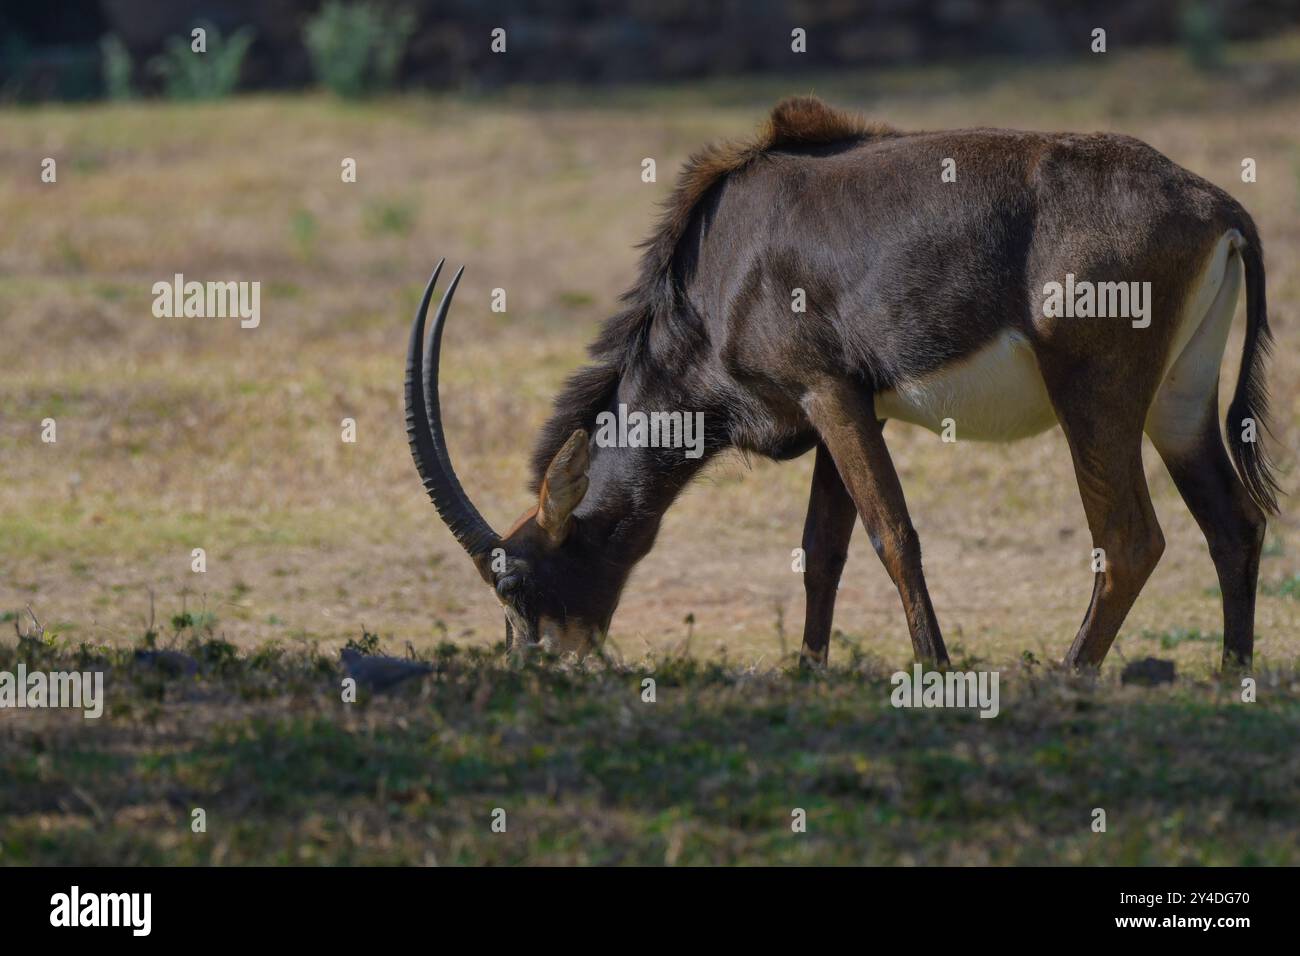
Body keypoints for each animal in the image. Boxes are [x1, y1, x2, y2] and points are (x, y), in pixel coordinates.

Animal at [405, 96, 1279, 671]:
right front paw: (809, 672)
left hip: (1094, 396)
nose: (540, 671)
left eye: (515, 584)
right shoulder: (848, 409)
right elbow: (823, 547)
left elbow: (893, 535)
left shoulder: (828, 391)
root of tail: (1216, 206)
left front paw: (935, 672)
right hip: (1181, 403)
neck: (713, 264)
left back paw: (1071, 674)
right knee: (1233, 523)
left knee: (1130, 540)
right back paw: (1232, 678)